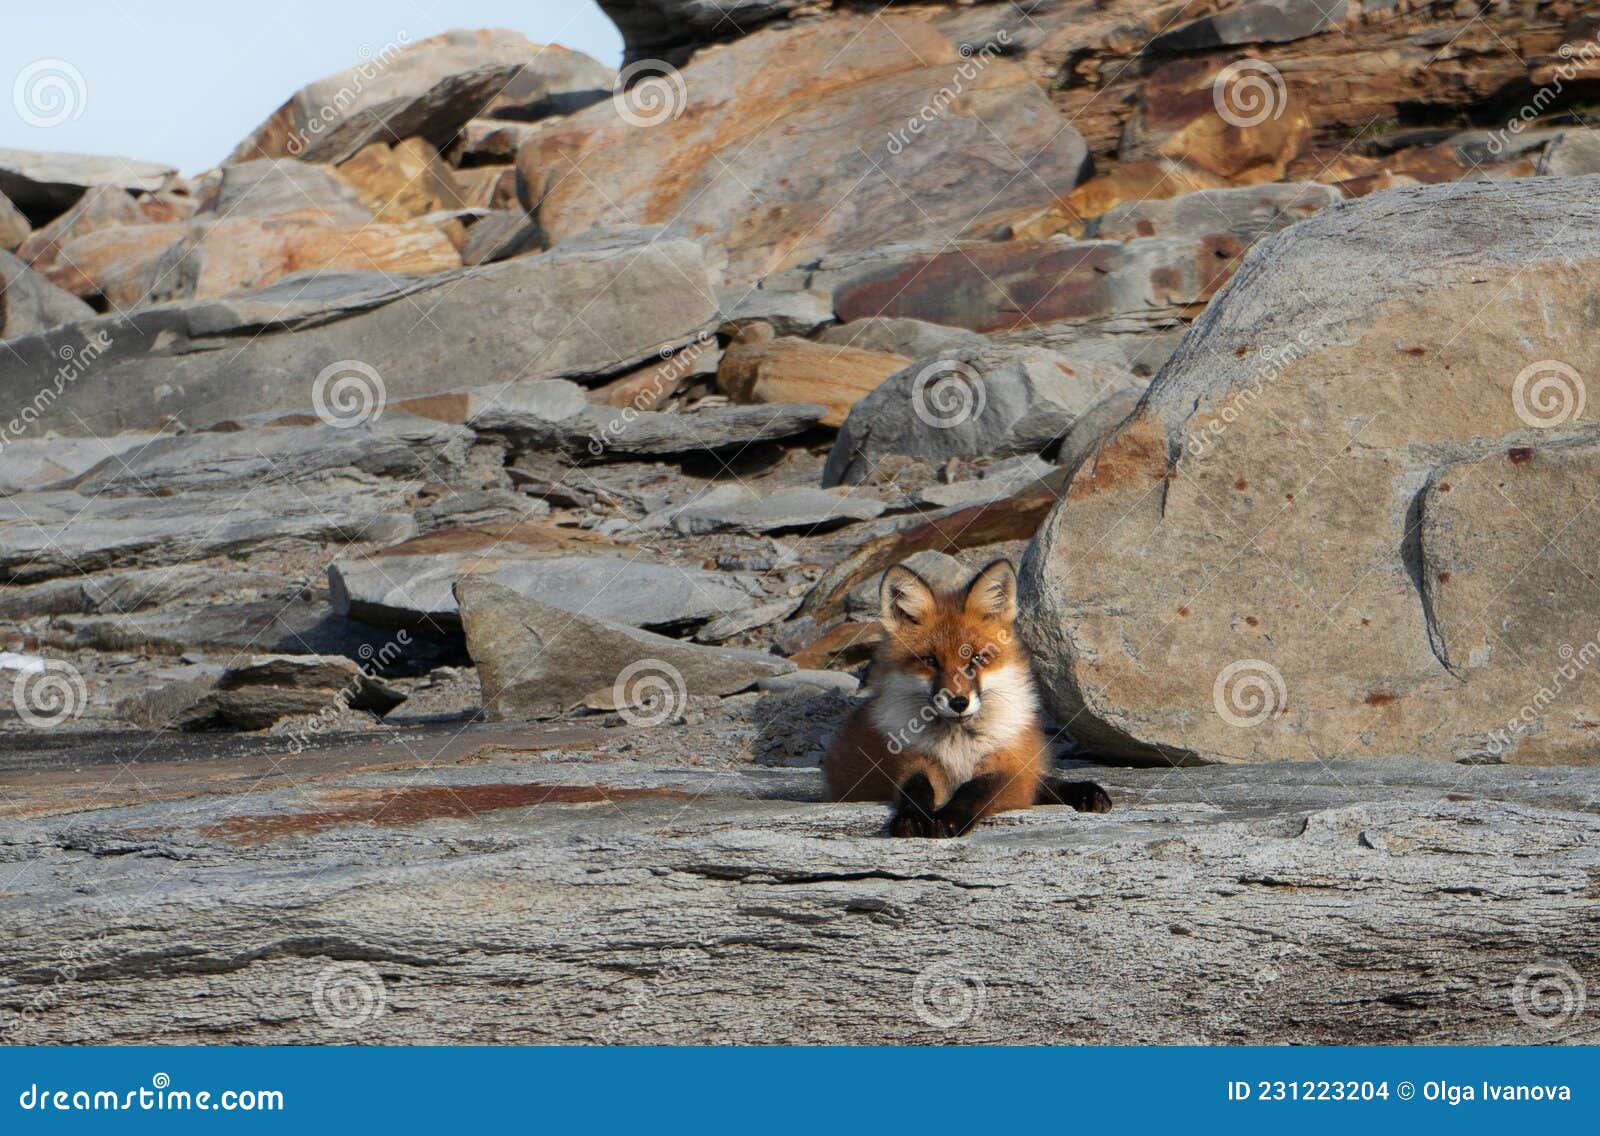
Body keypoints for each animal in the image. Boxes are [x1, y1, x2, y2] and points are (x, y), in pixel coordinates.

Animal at [823, 557, 1112, 838]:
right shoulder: (912, 761)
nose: (958, 702)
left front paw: (949, 819)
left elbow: (976, 788)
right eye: (930, 662)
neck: (958, 745)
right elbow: (916, 788)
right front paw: (911, 819)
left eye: (976, 658)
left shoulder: (1008, 768)